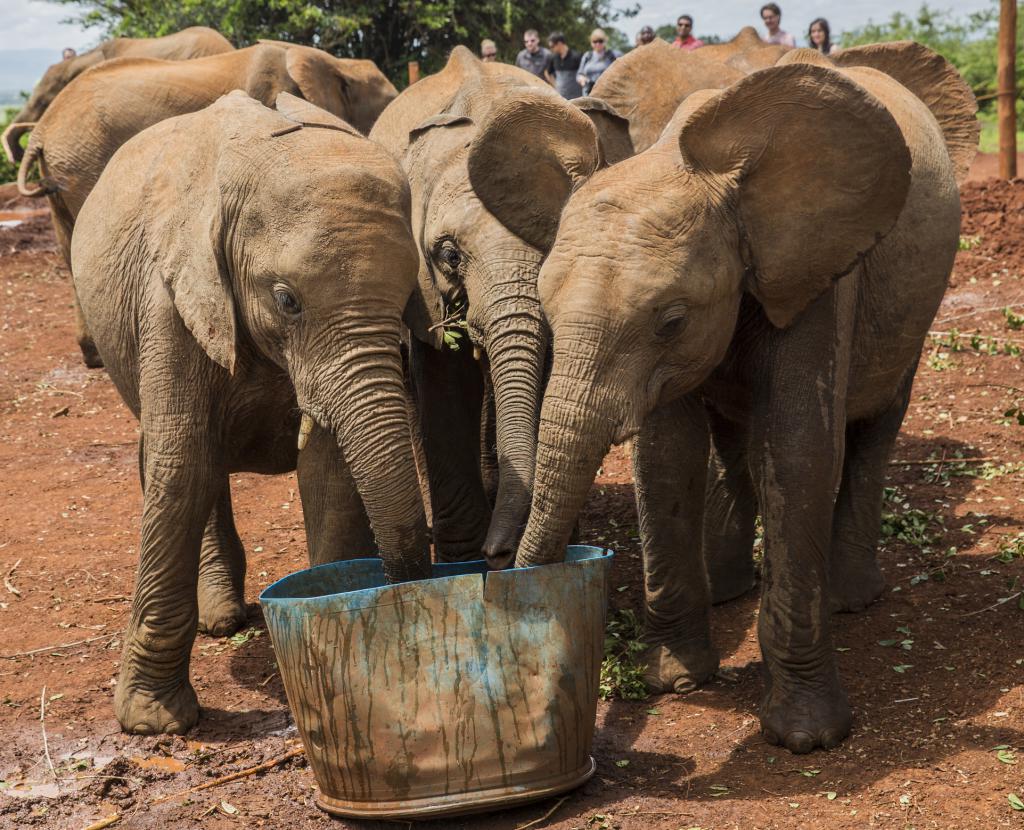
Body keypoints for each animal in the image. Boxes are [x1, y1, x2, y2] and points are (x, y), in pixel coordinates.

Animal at [70, 90, 431, 735]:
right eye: (287, 300)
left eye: (406, 299)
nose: (405, 577)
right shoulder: (171, 296)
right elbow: (181, 468)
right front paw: (155, 724)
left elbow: (328, 469)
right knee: (187, 464)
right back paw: (219, 620)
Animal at [516, 49, 978, 754]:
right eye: (545, 310)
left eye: (672, 320)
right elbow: (666, 457)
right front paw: (675, 681)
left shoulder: (818, 271)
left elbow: (798, 449)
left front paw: (808, 737)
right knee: (736, 442)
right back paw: (730, 588)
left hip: (914, 306)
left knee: (874, 428)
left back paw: (851, 598)